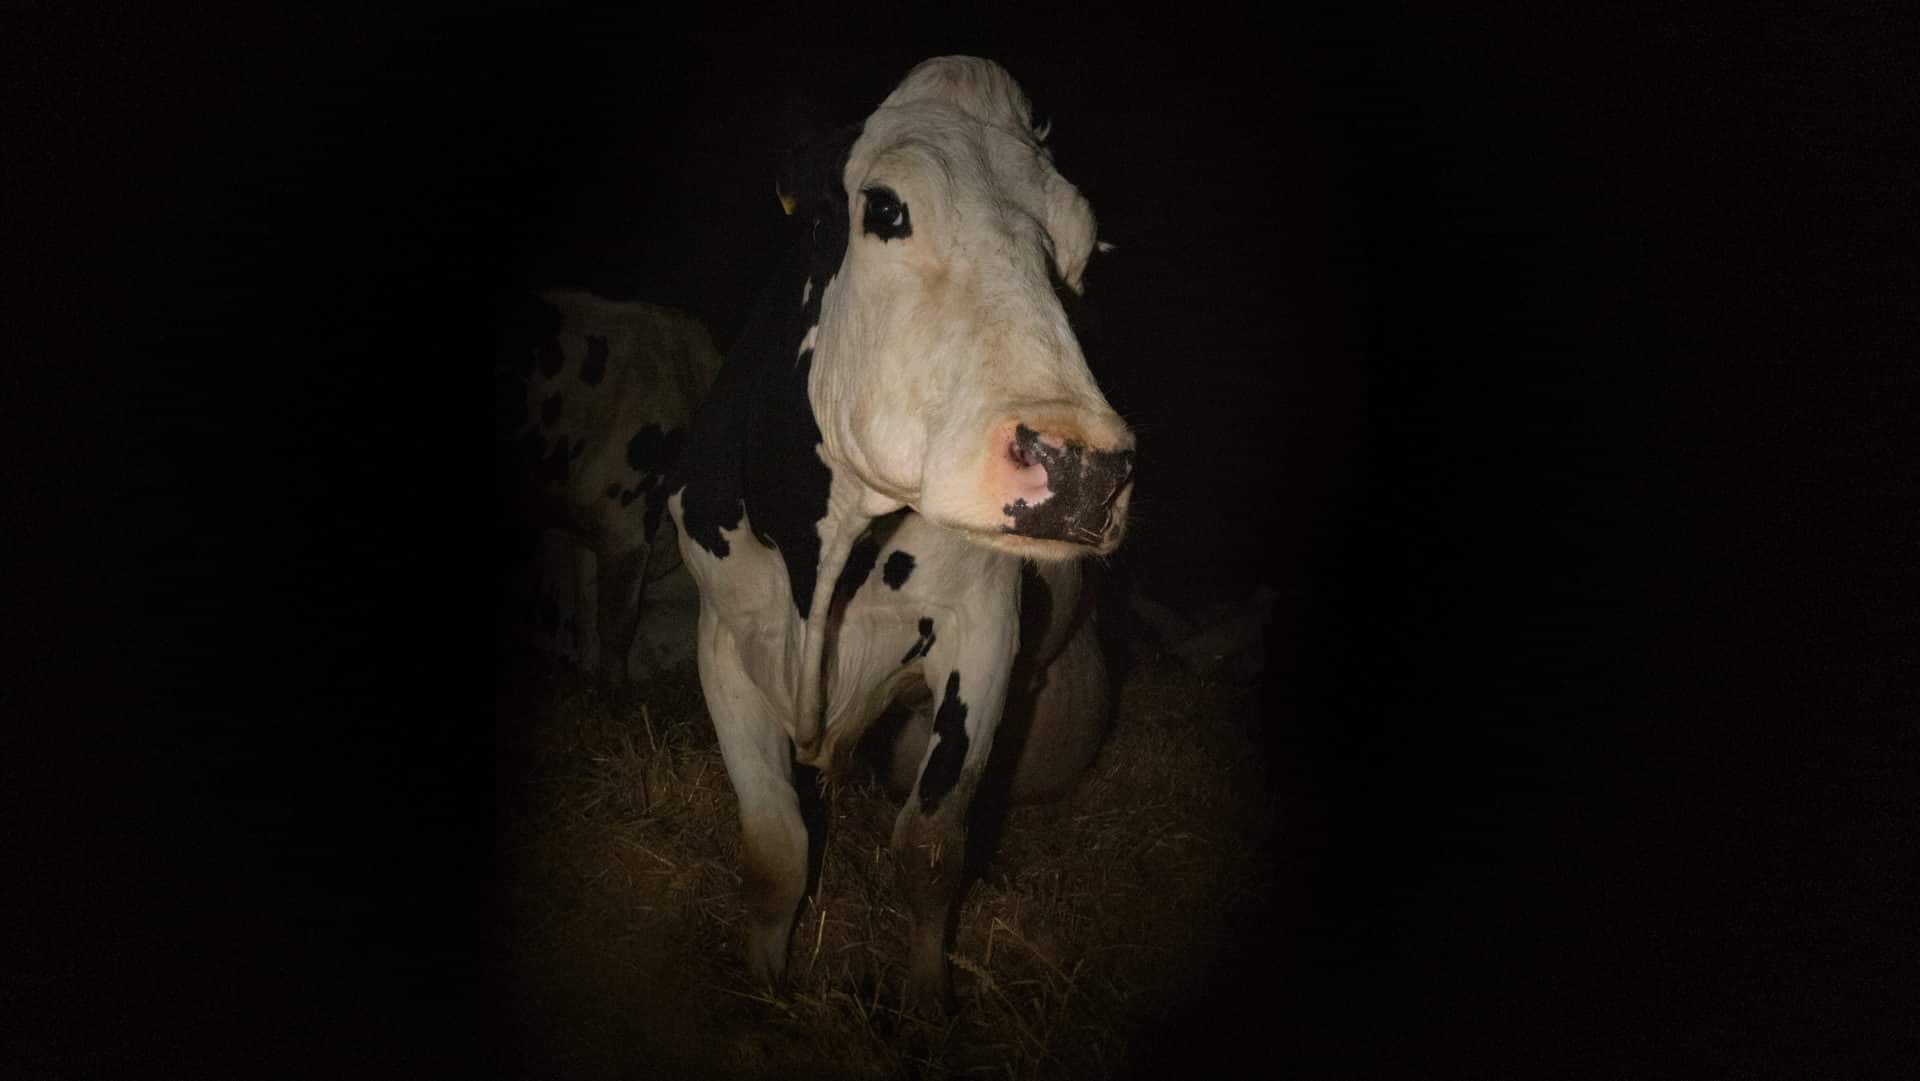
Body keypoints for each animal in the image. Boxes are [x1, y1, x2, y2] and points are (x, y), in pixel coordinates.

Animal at [498, 289, 722, 683]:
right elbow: (612, 621)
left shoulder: (593, 524)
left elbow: (593, 609)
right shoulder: (625, 517)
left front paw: (593, 678)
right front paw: (611, 686)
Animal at [667, 56, 1135, 1012]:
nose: (1084, 468)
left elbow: (927, 848)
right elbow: (775, 849)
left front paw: (925, 1005)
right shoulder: (722, 635)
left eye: (1080, 253)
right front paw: (765, 987)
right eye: (885, 208)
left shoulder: (982, 629)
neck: (821, 567)